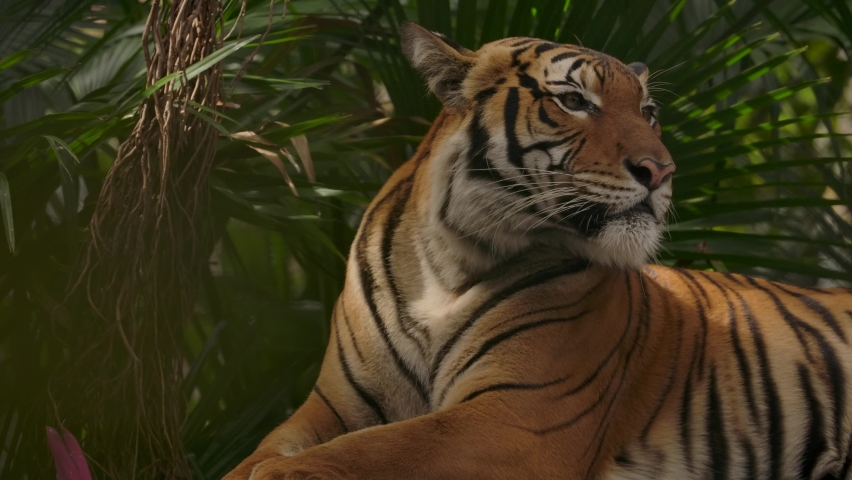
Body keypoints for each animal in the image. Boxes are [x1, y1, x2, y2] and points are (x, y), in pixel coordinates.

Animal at [224, 21, 852, 480]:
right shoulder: (332, 406)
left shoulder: (516, 418)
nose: (662, 171)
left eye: (648, 113)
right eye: (574, 100)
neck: (445, 265)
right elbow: (261, 455)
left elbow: (373, 451)